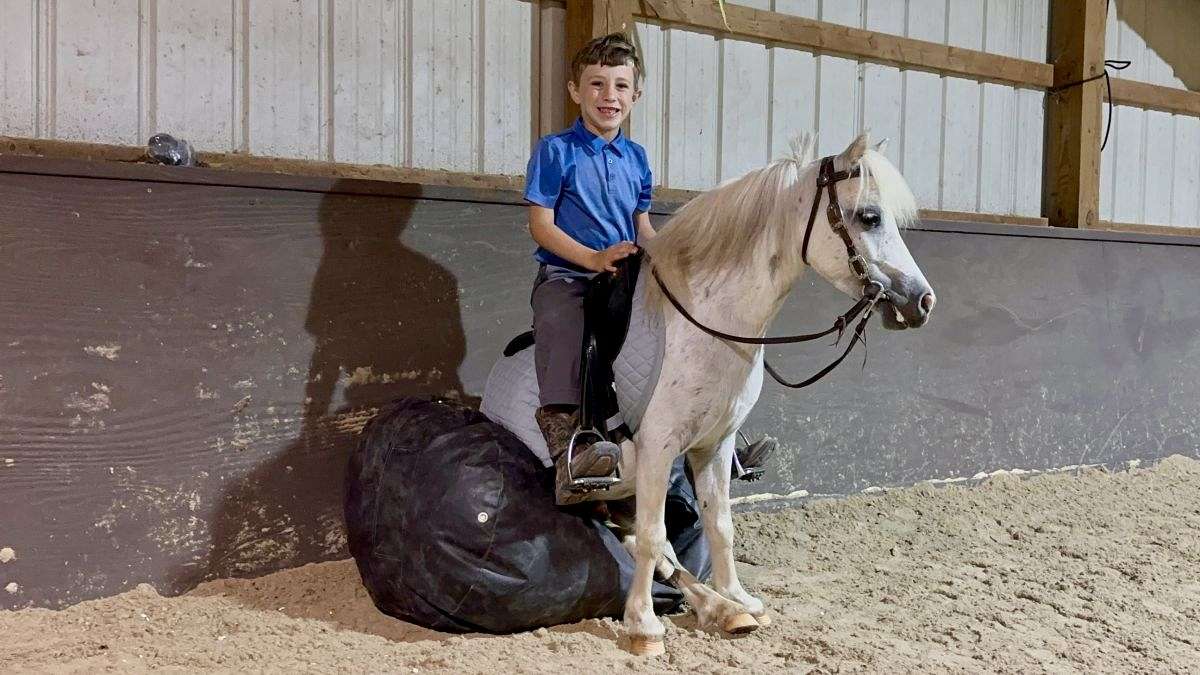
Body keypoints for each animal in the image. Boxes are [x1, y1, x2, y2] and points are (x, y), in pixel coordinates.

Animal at [481, 132, 935, 655]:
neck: (707, 323)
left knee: (652, 546)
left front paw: (737, 598)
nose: (923, 301)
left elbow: (719, 525)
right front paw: (643, 626)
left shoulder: (714, 446)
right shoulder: (658, 449)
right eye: (869, 217)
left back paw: (721, 609)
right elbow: (655, 535)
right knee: (642, 540)